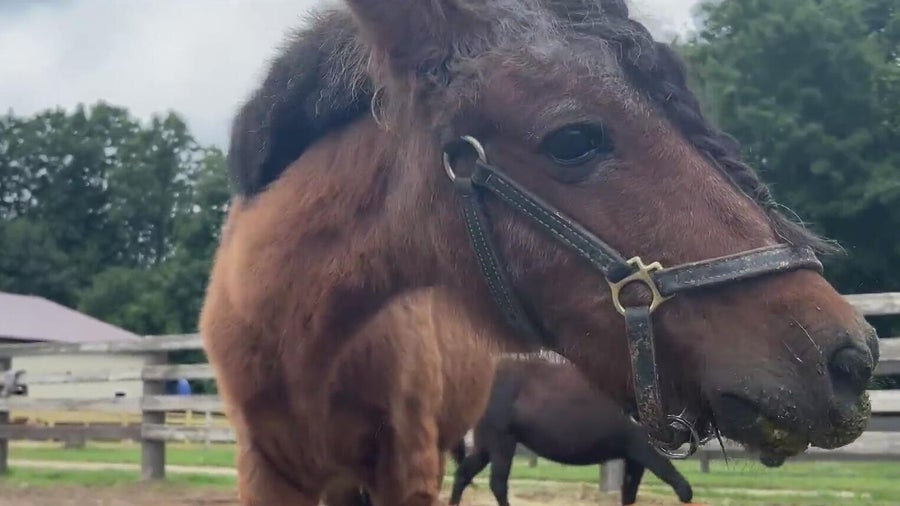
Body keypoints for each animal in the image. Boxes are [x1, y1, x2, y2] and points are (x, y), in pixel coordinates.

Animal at [449, 357, 694, 506]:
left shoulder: (634, 458)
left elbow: (629, 495)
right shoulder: (647, 452)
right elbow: (683, 489)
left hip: (486, 445)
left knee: (463, 474)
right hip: (502, 442)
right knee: (498, 484)